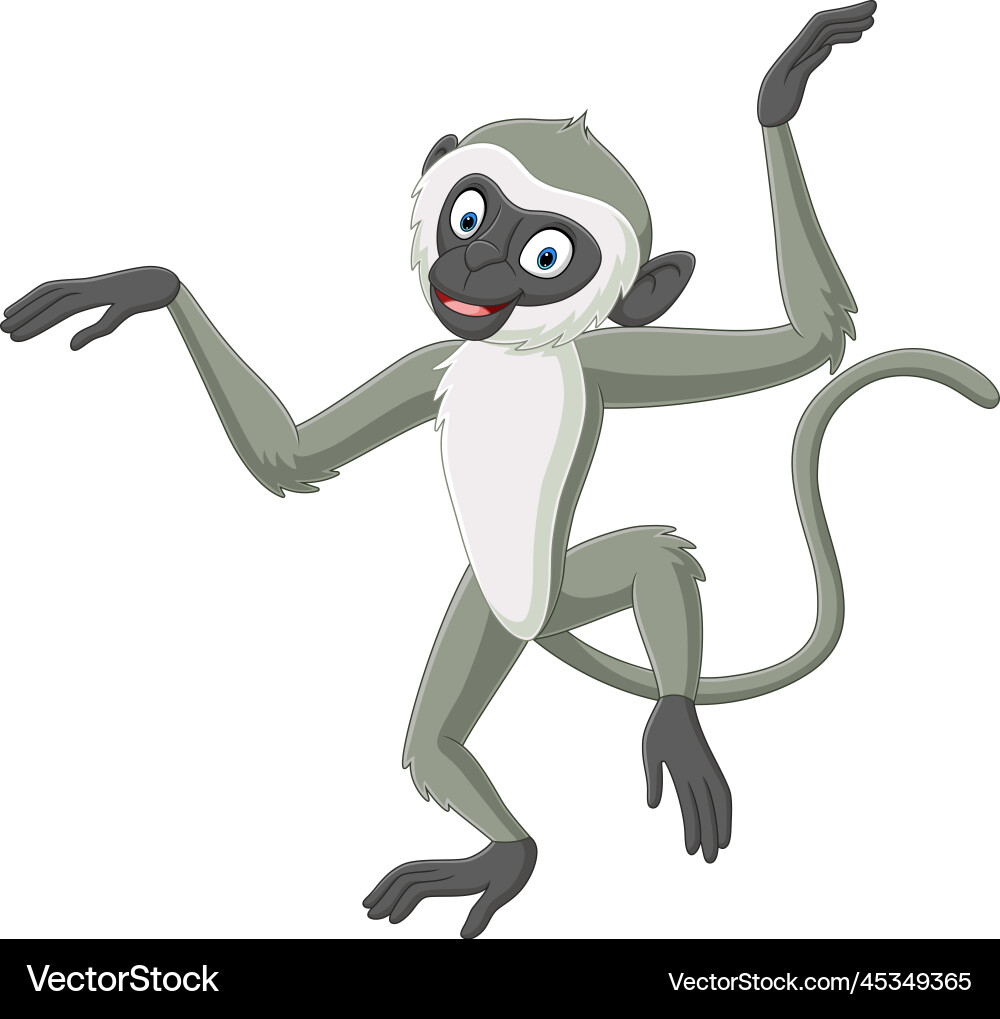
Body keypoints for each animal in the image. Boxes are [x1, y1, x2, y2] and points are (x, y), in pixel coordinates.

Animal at [3, 2, 997, 939]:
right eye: (470, 214)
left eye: (546, 254)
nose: (475, 258)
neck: (507, 357)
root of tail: (540, 621)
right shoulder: (431, 361)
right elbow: (291, 456)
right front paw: (139, 285)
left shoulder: (603, 364)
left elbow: (803, 346)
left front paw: (782, 86)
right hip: (485, 607)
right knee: (435, 740)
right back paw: (506, 856)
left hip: (558, 585)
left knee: (651, 562)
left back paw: (672, 722)